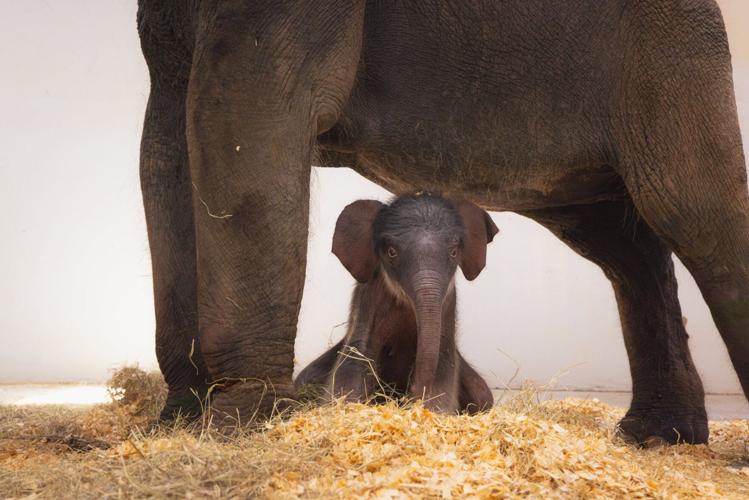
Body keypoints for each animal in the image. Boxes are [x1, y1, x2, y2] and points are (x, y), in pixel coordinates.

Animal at [295, 193, 496, 414]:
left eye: (453, 252)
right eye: (392, 252)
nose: (412, 392)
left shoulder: (448, 303)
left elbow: (444, 361)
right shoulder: (369, 300)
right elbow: (356, 357)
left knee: (483, 395)